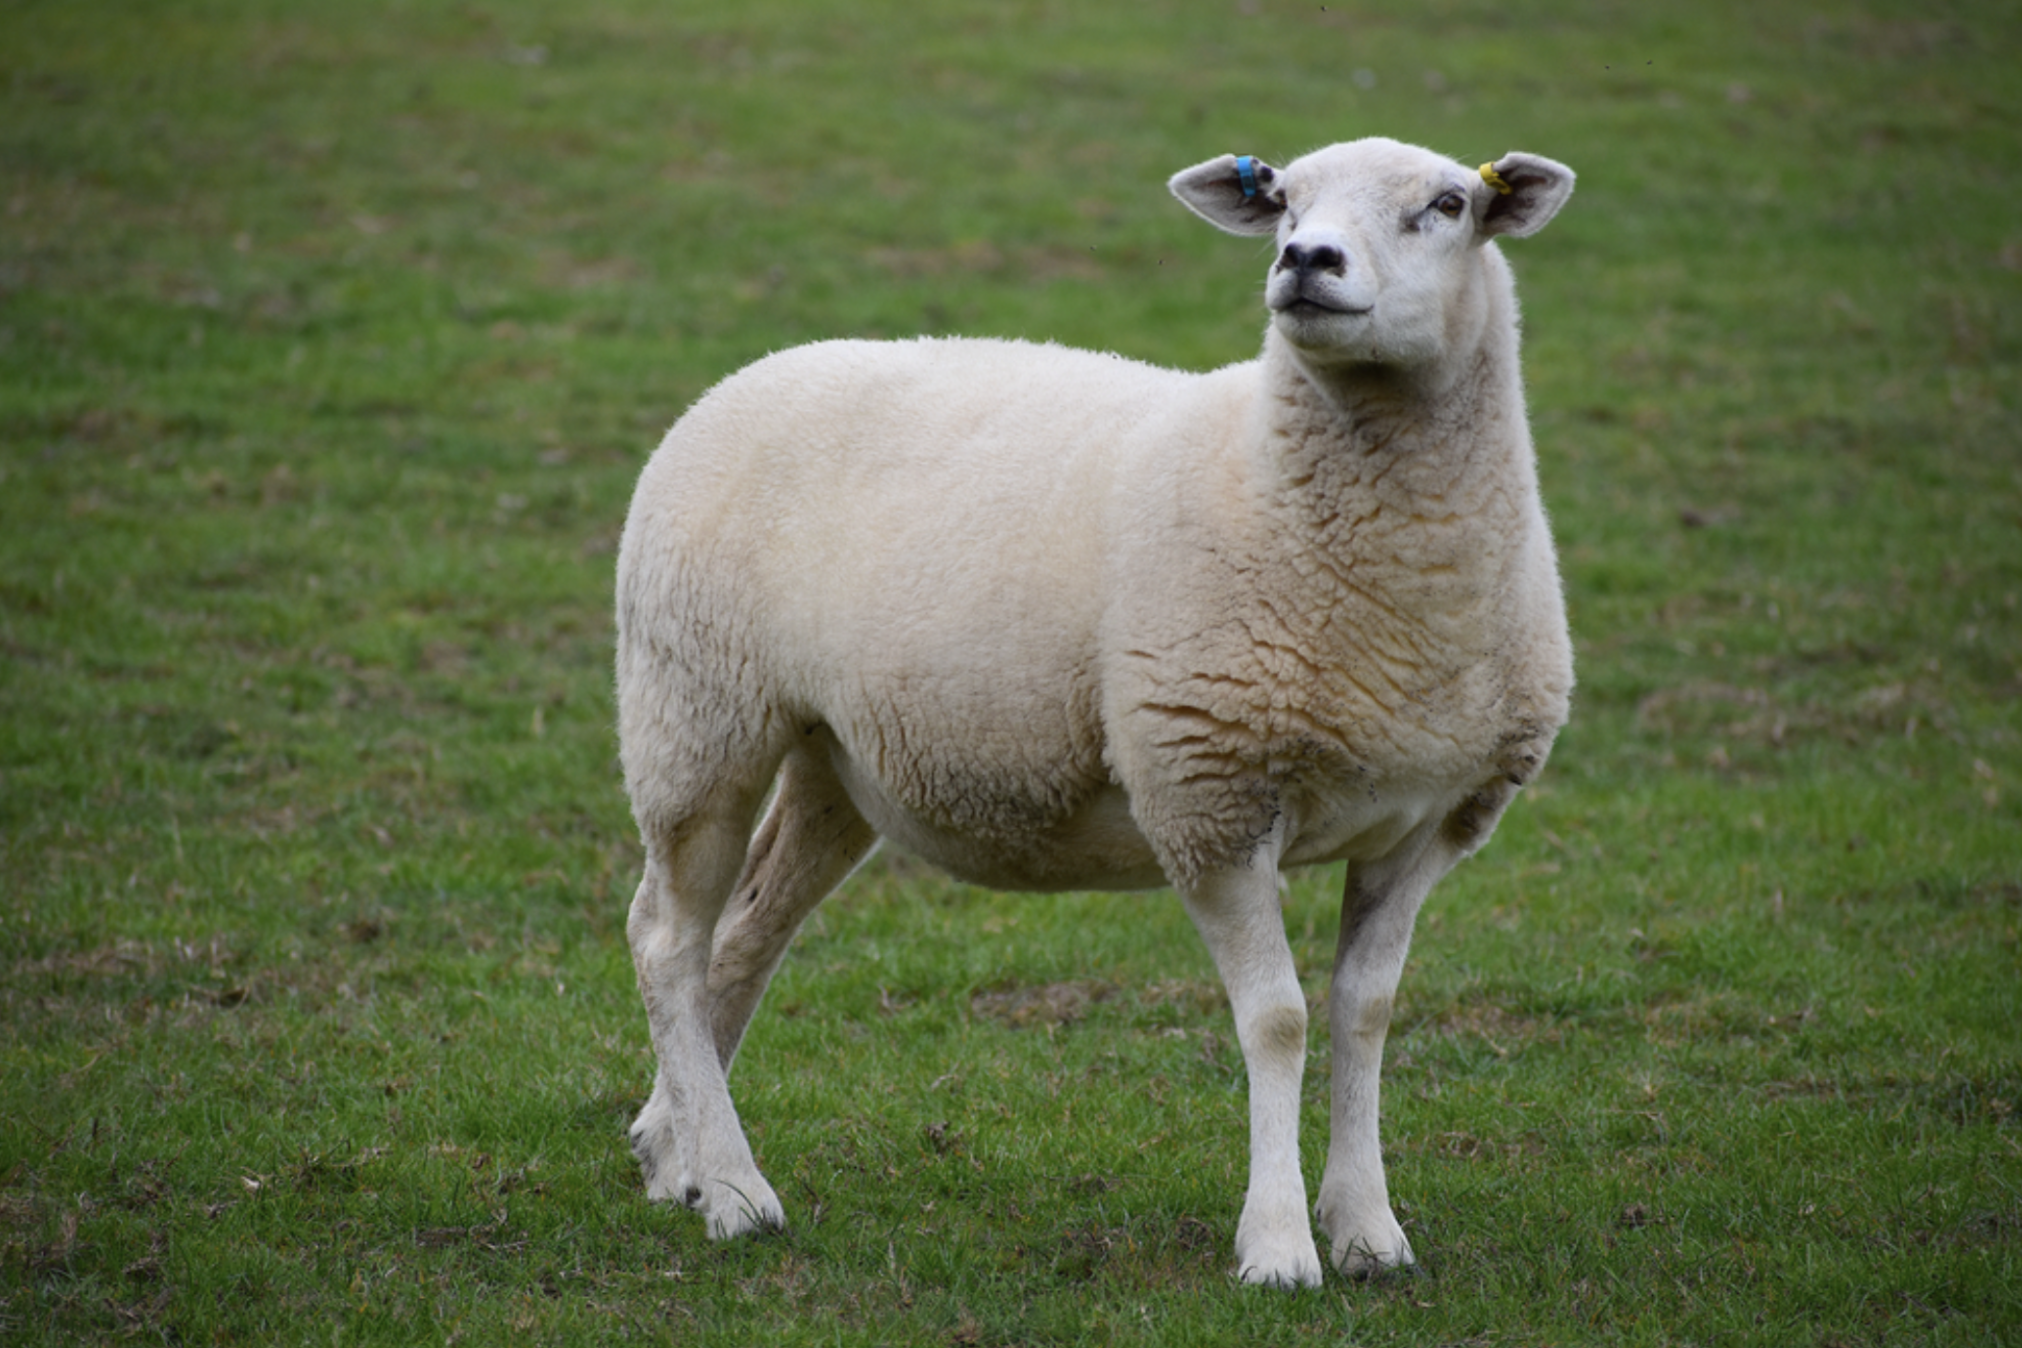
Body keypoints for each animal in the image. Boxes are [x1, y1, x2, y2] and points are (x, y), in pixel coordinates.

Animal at [615, 136, 1576, 1288]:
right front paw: (1278, 1245)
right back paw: (734, 1191)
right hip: (695, 709)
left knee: (749, 929)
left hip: (832, 755)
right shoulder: (1207, 790)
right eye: (1282, 199)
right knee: (669, 938)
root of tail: (747, 376)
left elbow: (1366, 1013)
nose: (1306, 259)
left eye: (1446, 204)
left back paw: (679, 1156)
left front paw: (1367, 1228)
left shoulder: (1426, 824)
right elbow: (1279, 1020)